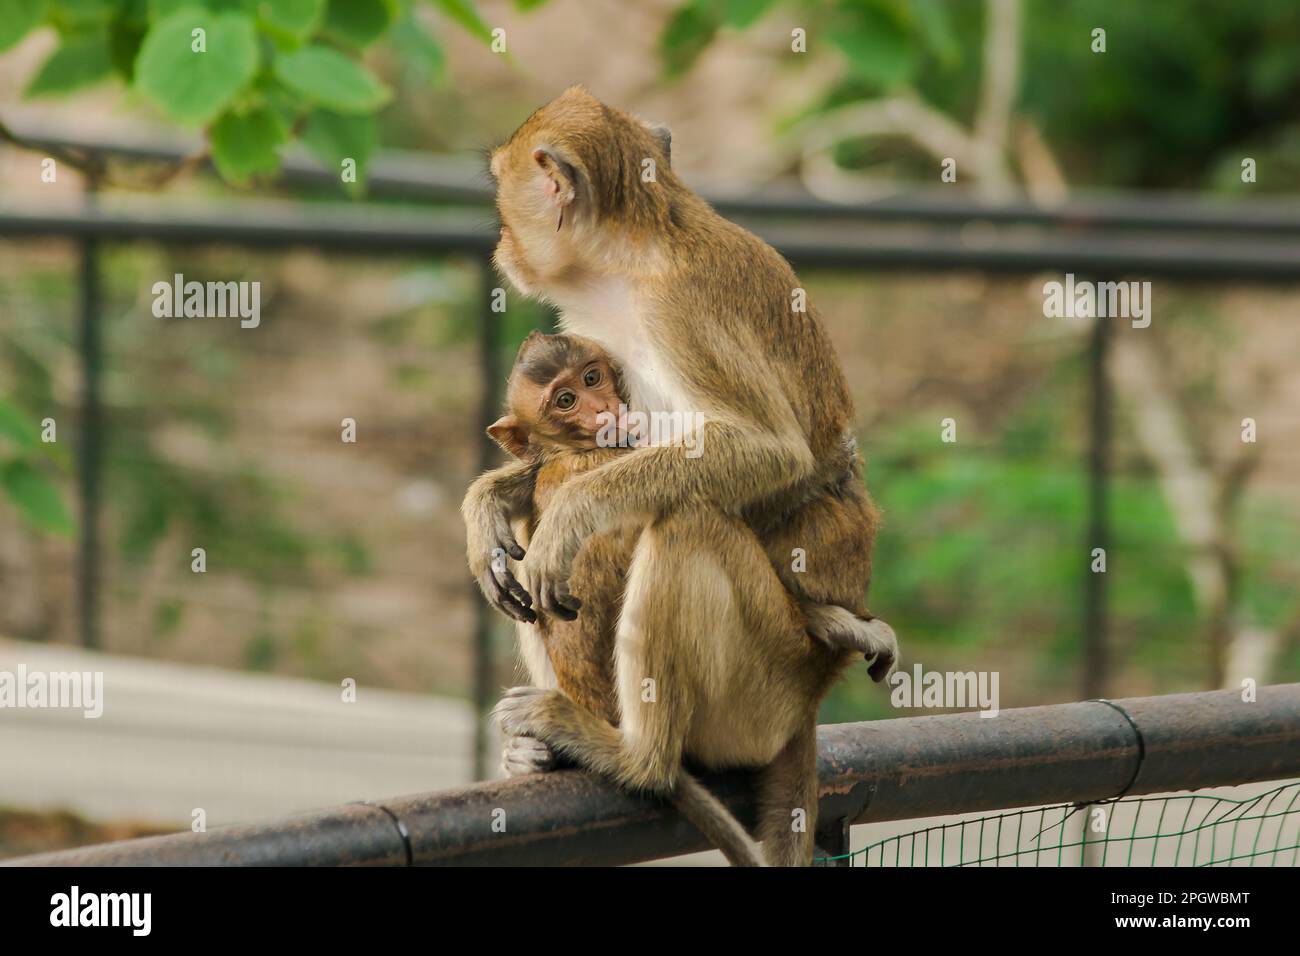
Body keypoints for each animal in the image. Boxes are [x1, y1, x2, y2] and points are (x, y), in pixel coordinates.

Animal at [463, 87, 898, 866]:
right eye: (573, 391)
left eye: (505, 197)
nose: (503, 246)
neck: (634, 254)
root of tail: (809, 702)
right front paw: (487, 504)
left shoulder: (679, 311)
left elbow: (773, 452)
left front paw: (572, 511)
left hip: (765, 687)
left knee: (688, 523)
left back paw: (638, 758)